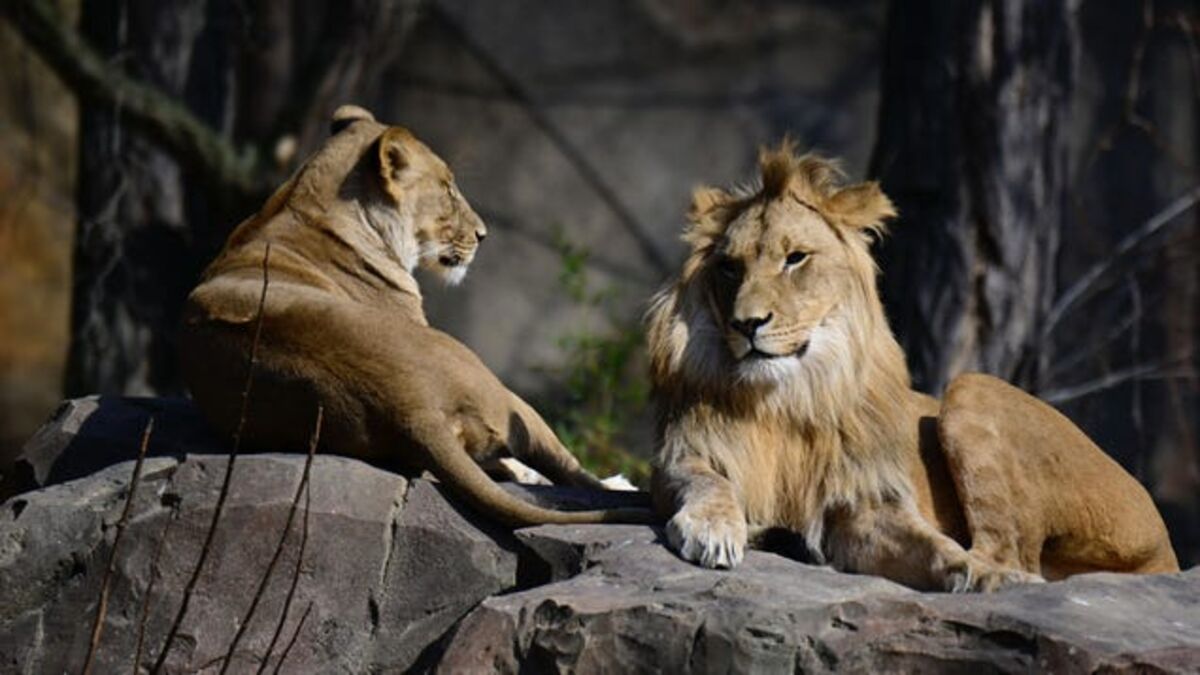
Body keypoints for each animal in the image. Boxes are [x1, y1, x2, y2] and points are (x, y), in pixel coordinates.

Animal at [180, 105, 650, 525]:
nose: (483, 234)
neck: (302, 205)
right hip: (507, 394)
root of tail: (411, 408)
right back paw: (619, 484)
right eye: (448, 188)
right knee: (570, 471)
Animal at [647, 143, 1178, 591]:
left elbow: (930, 544)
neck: (788, 398)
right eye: (729, 267)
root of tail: (1168, 545)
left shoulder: (865, 500)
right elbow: (706, 480)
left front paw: (979, 574)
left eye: (795, 258)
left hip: (973, 388)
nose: (747, 323)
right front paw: (713, 527)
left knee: (1012, 552)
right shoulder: (680, 457)